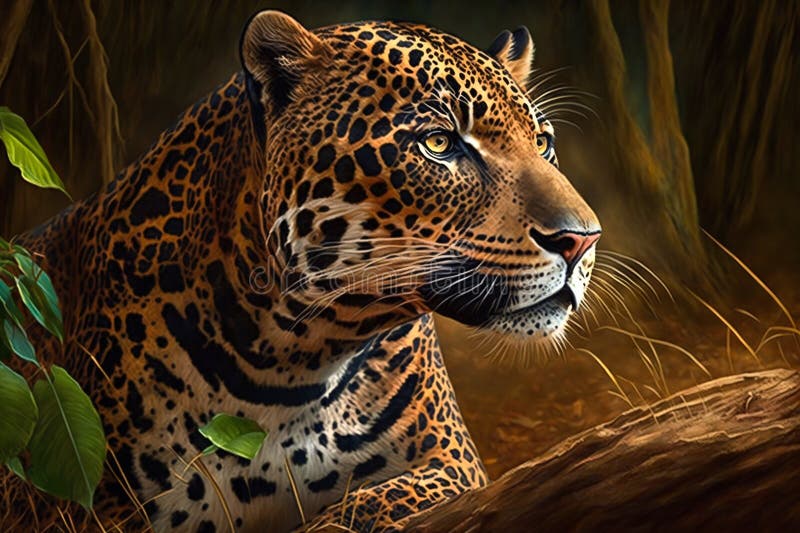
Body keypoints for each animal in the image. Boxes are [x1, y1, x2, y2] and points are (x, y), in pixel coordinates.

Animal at [11, 10, 601, 532]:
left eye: (543, 142)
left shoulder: (450, 464)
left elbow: (357, 509)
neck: (286, 359)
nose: (581, 241)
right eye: (438, 143)